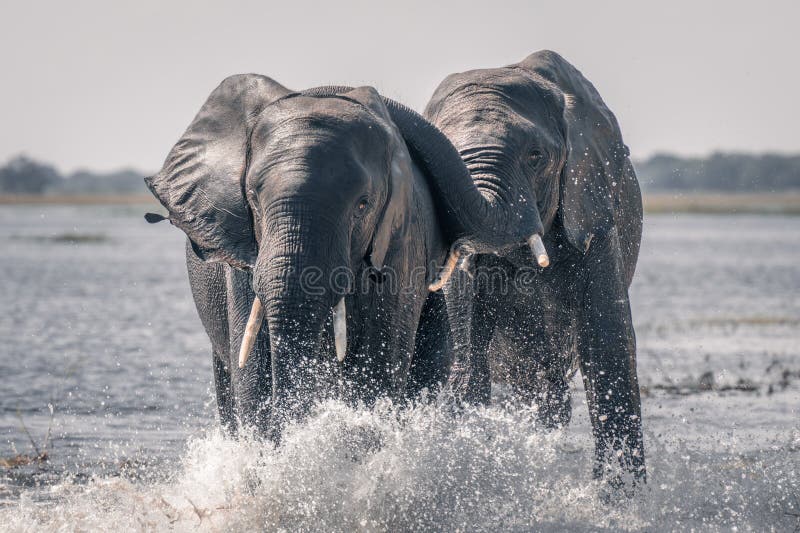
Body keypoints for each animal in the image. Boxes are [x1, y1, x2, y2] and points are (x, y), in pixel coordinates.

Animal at [144, 75, 531, 439]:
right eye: (253, 198)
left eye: (362, 205)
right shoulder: (245, 251)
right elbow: (252, 375)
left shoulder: (402, 241)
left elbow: (378, 370)